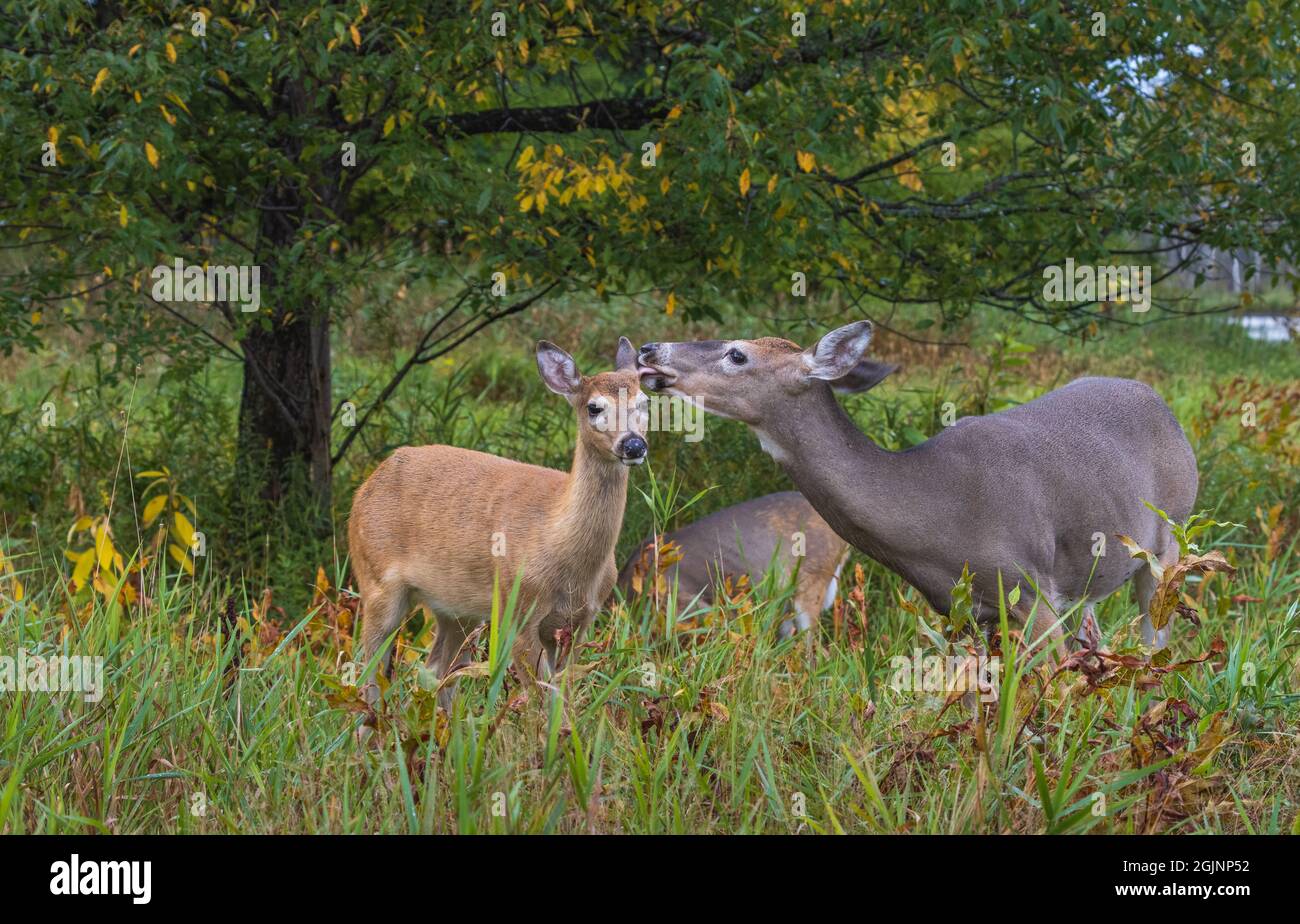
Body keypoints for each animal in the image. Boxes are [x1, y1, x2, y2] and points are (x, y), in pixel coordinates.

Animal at [348, 337, 649, 728]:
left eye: (644, 403)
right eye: (594, 407)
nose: (633, 444)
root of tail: (365, 486)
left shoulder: (582, 620)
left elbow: (561, 697)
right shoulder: (517, 610)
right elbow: (539, 702)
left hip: (457, 609)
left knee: (437, 671)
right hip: (376, 581)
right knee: (368, 673)